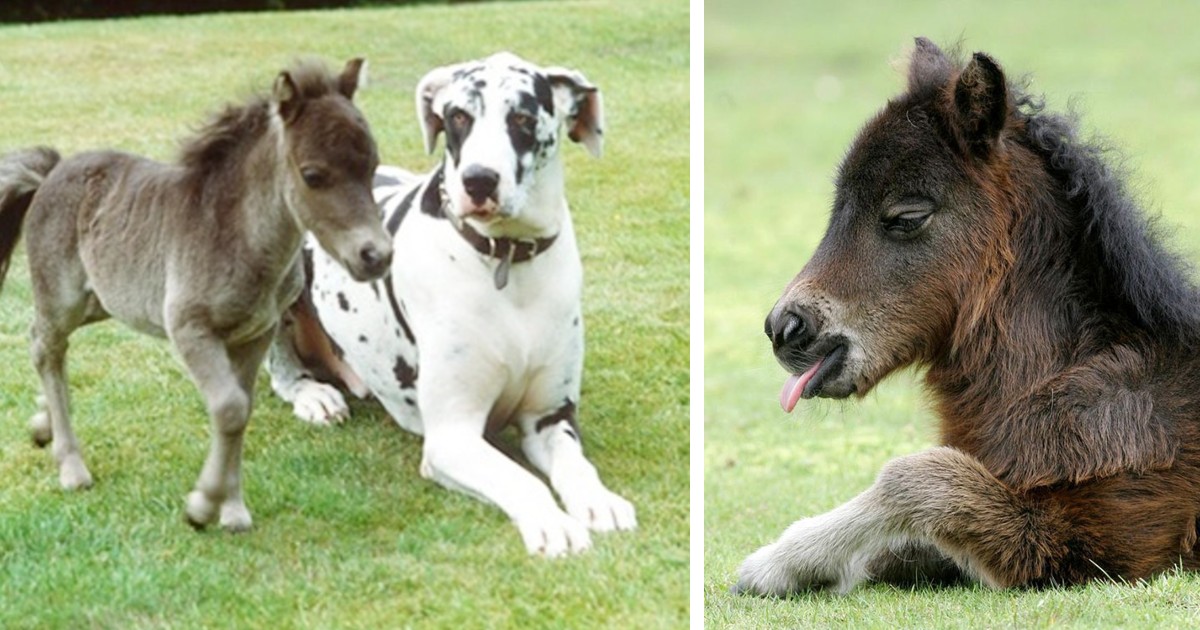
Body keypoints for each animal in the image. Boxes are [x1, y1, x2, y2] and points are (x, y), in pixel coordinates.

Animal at [0, 58, 393, 532]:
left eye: (372, 166)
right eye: (312, 175)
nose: (376, 255)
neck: (238, 238)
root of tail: (51, 172)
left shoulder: (256, 334)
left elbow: (241, 411)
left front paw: (233, 510)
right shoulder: (190, 330)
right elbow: (229, 408)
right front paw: (203, 505)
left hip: (104, 300)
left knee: (43, 344)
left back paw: (43, 424)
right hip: (64, 297)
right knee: (46, 346)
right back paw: (72, 465)